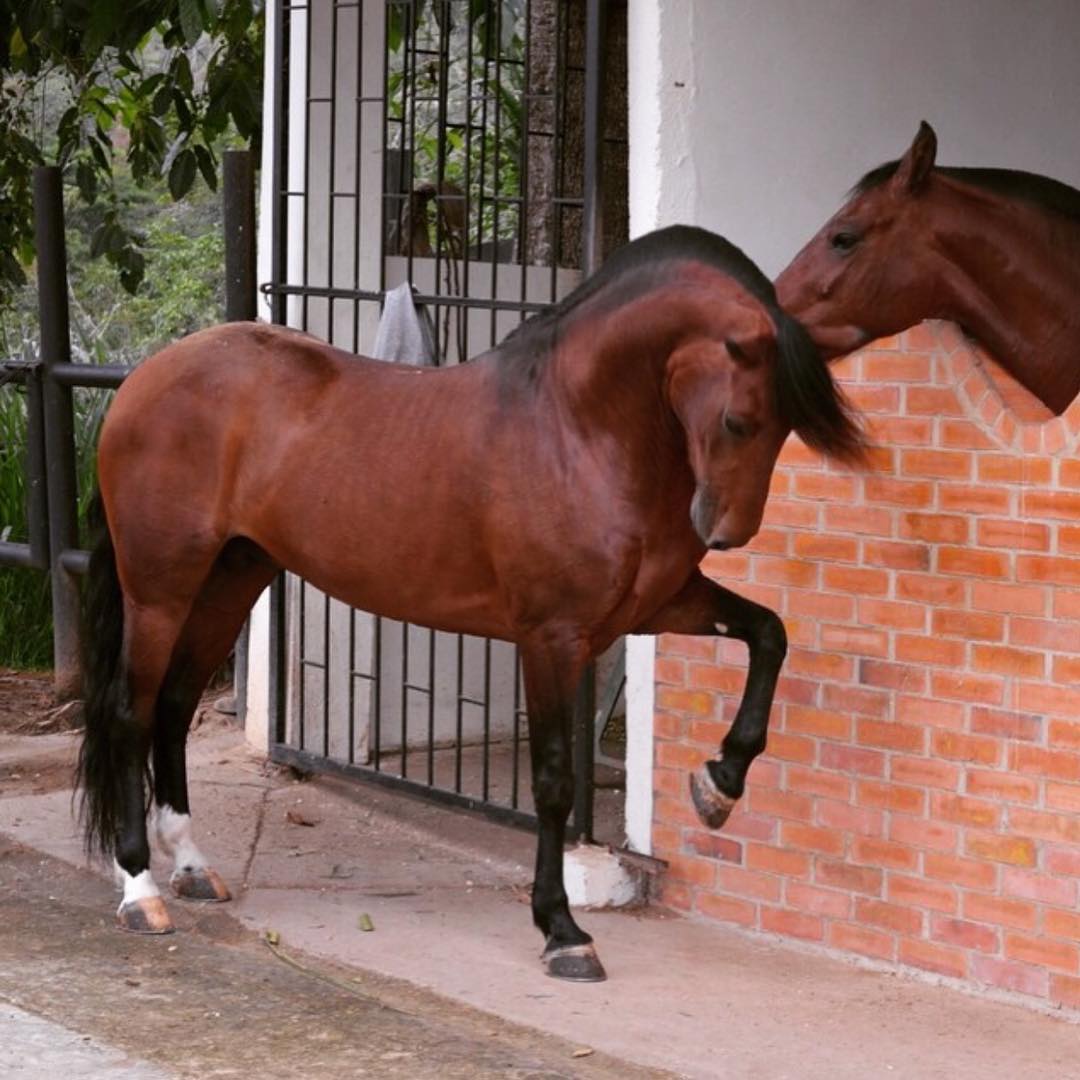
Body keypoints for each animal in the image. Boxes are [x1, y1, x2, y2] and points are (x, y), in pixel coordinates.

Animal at [77, 224, 864, 983]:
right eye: (738, 420)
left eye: (783, 427)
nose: (723, 532)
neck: (577, 427)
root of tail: (144, 378)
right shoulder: (552, 638)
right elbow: (553, 781)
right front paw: (562, 933)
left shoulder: (652, 608)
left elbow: (769, 633)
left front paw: (720, 784)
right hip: (160, 589)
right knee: (131, 712)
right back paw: (139, 889)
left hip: (231, 580)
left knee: (172, 708)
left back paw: (190, 867)